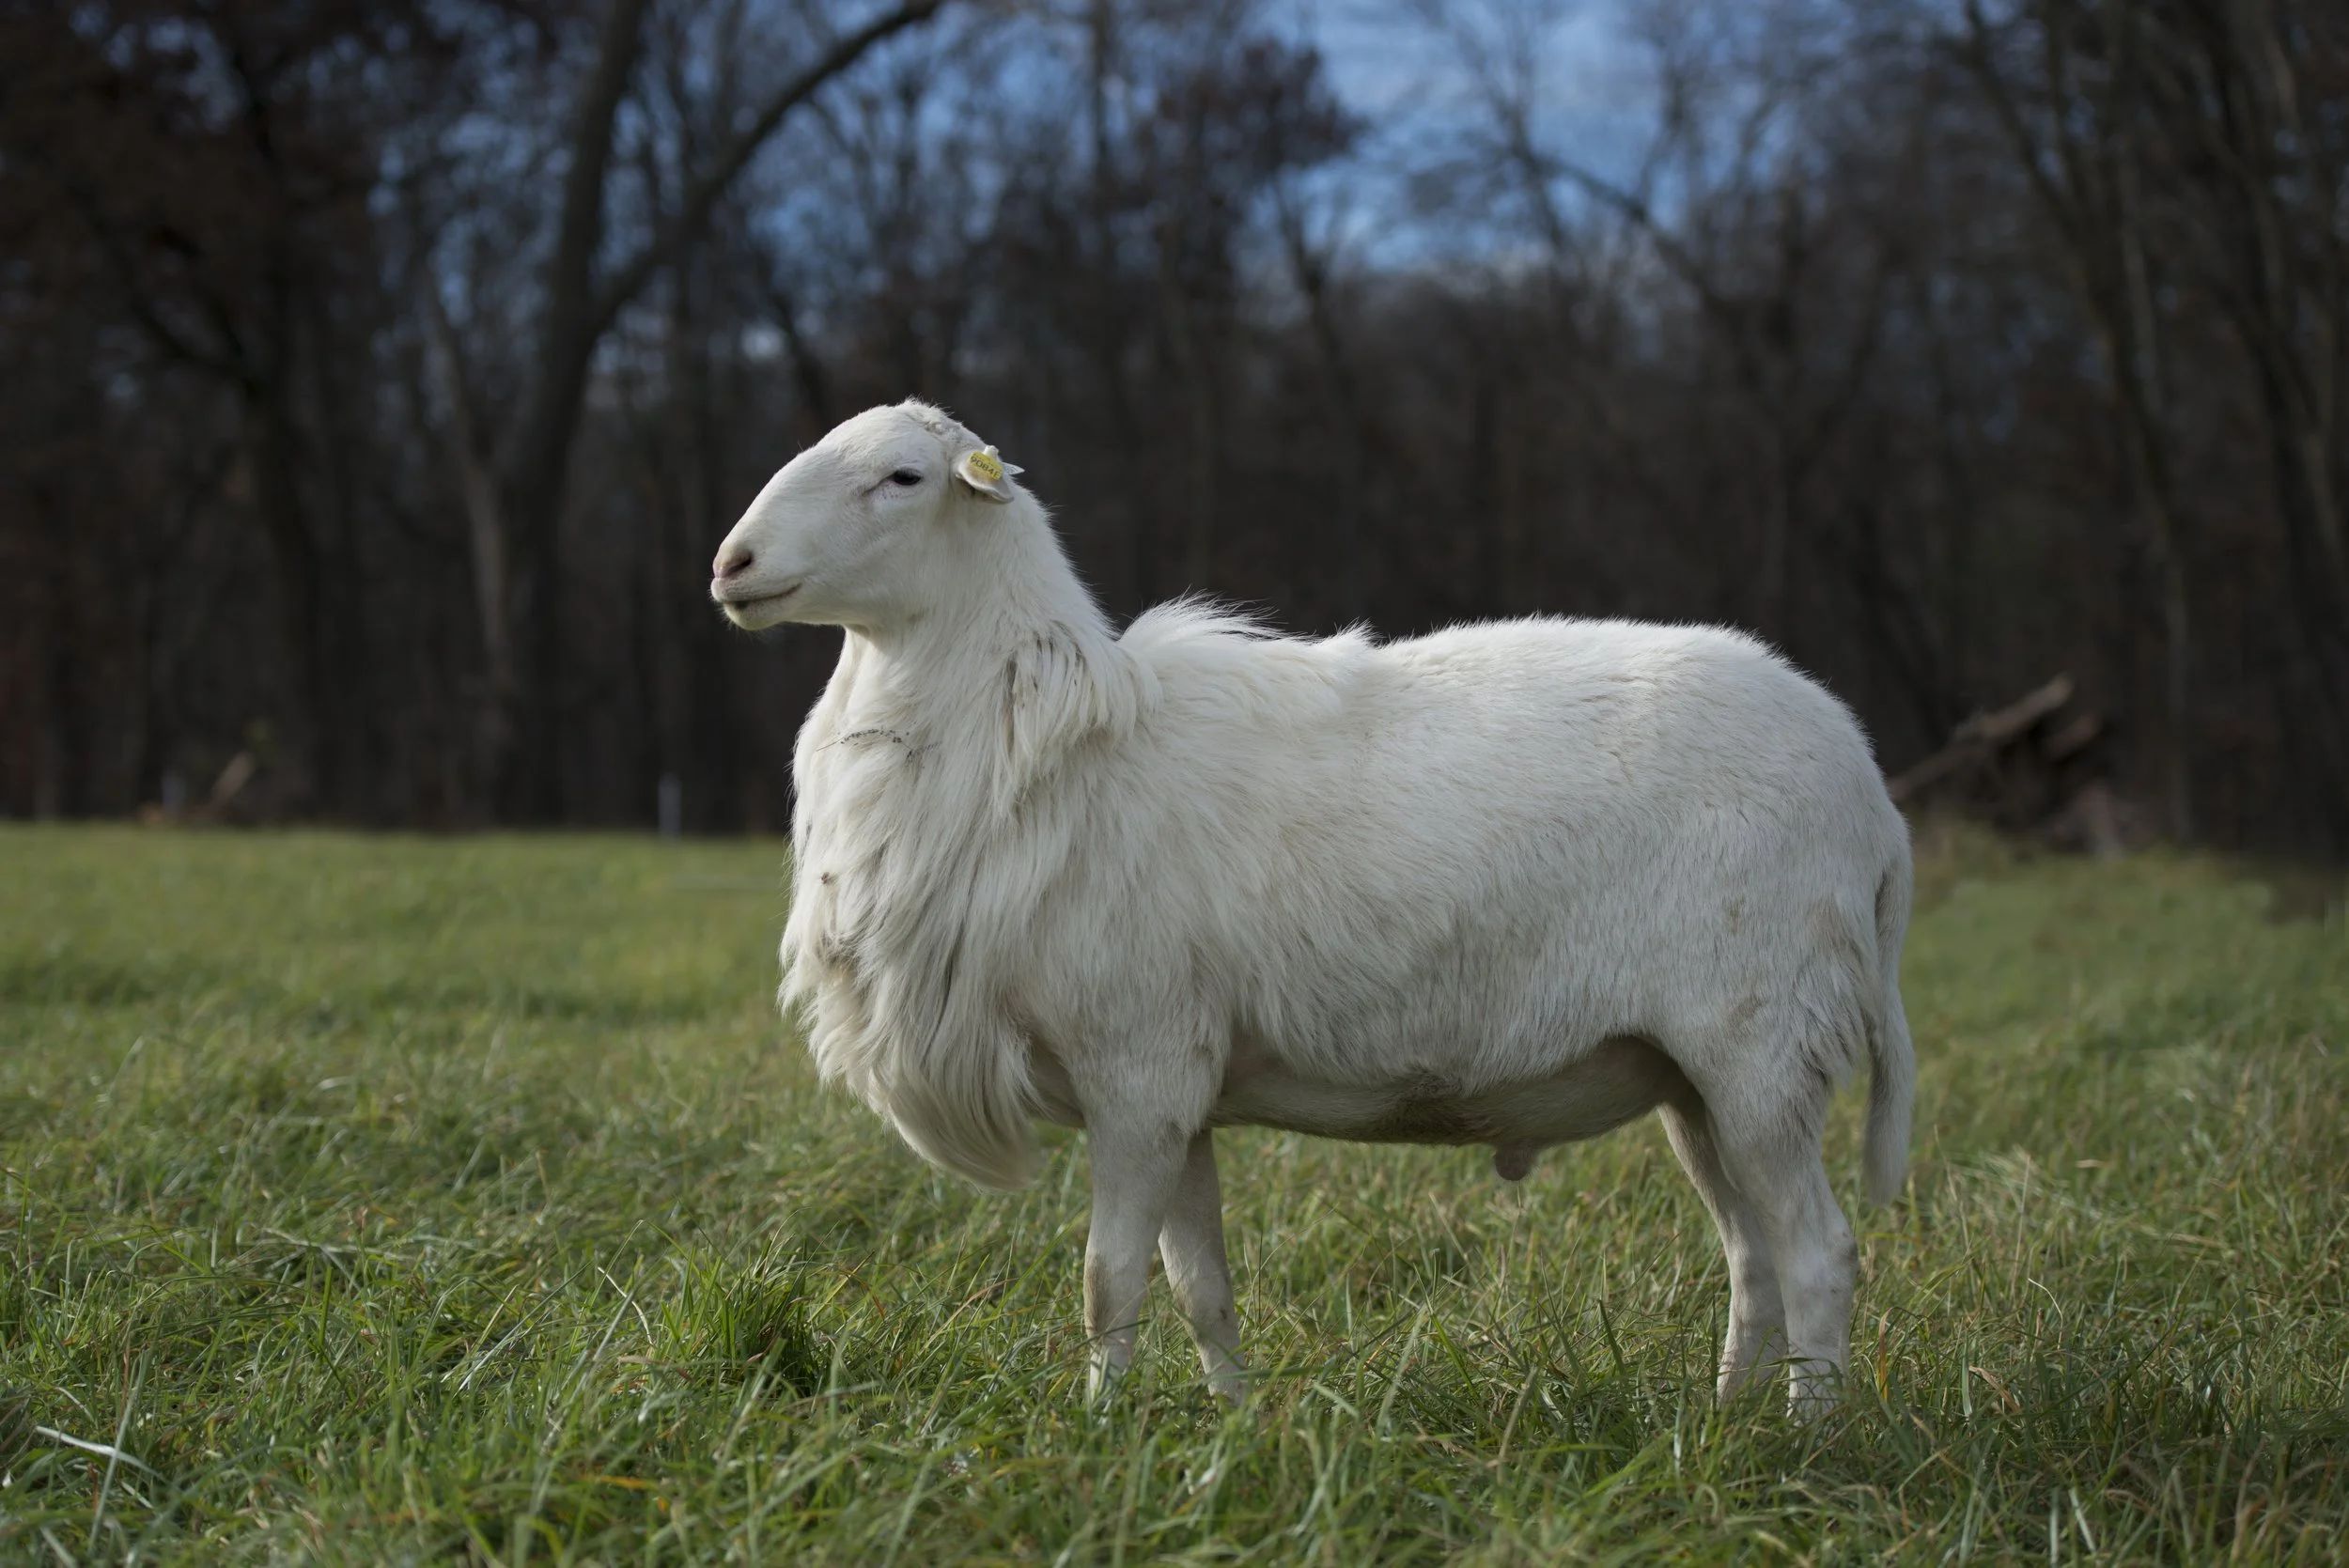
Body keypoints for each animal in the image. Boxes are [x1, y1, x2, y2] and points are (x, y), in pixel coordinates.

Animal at [709, 400, 1915, 1413]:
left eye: (902, 477)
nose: (732, 564)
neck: (1035, 730)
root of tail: (1872, 797)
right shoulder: (1179, 1088)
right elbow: (1198, 1284)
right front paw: (1229, 1425)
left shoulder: (1135, 1068)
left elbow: (1106, 1281)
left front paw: (1095, 1434)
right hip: (1691, 1078)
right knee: (1753, 1258)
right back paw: (1724, 1427)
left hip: (1760, 1043)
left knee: (1818, 1253)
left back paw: (1807, 1441)